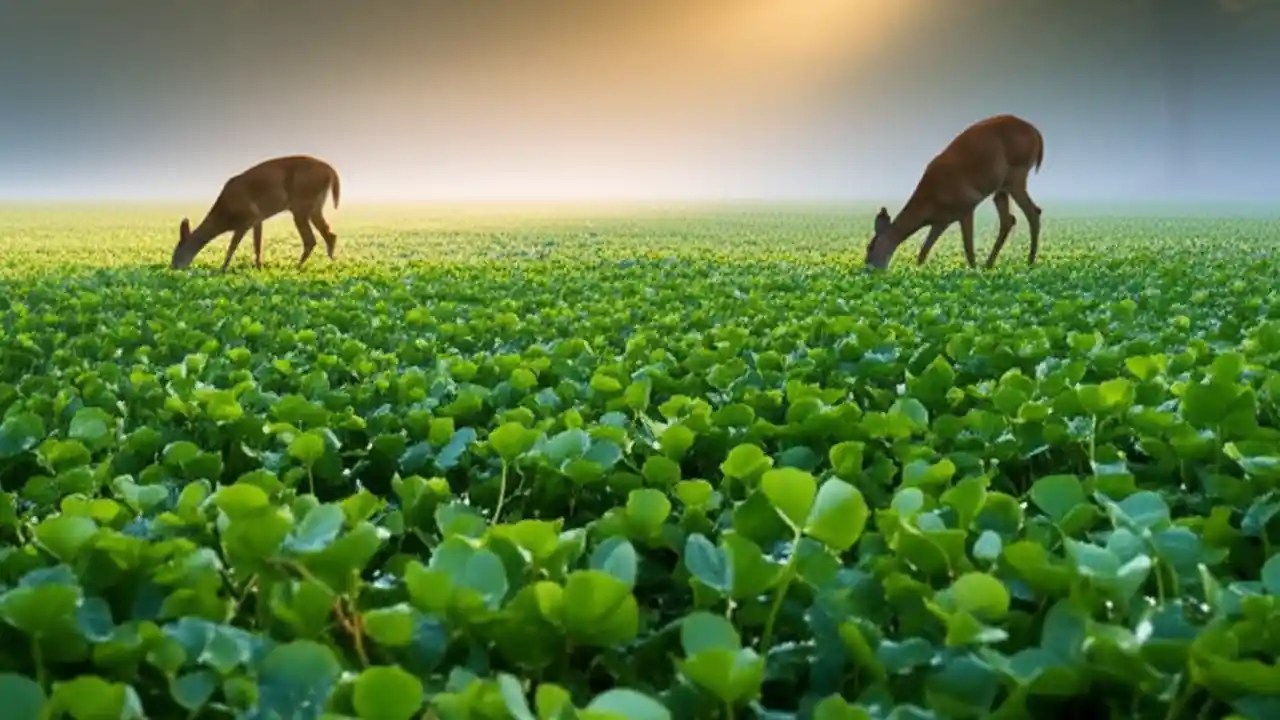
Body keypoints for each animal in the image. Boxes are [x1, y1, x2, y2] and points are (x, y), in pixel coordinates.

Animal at [169, 155, 341, 272]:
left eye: (176, 253)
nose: (173, 267)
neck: (224, 217)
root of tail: (331, 171)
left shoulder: (248, 217)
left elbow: (233, 246)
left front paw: (222, 269)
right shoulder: (258, 219)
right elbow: (257, 244)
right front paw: (259, 266)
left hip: (302, 203)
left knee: (311, 239)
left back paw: (297, 266)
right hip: (314, 206)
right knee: (329, 234)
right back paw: (331, 260)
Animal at [864, 114, 1044, 271]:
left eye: (870, 247)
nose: (868, 269)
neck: (929, 199)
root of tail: (1036, 133)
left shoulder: (967, 207)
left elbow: (968, 248)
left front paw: (974, 271)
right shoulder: (941, 222)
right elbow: (924, 251)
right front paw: (918, 270)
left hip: (1016, 178)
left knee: (1033, 212)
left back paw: (1029, 262)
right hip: (1002, 189)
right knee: (1009, 220)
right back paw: (990, 264)